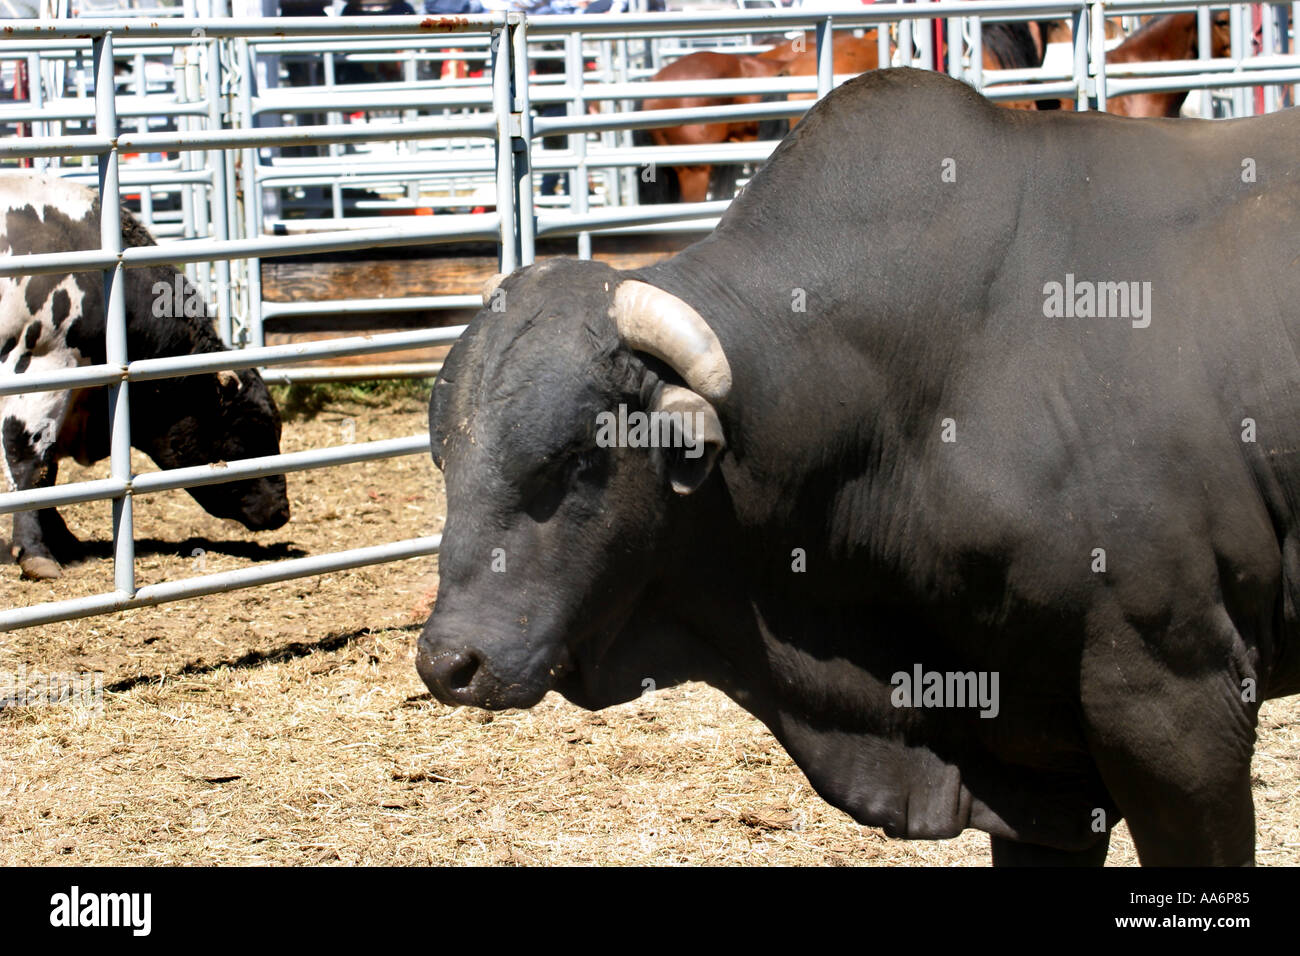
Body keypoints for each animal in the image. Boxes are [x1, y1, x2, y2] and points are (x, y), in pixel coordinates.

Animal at [0, 172, 289, 581]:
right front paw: (35, 551)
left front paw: (64, 541)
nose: (282, 511)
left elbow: (49, 470)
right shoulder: (42, 367)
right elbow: (30, 463)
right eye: (248, 430)